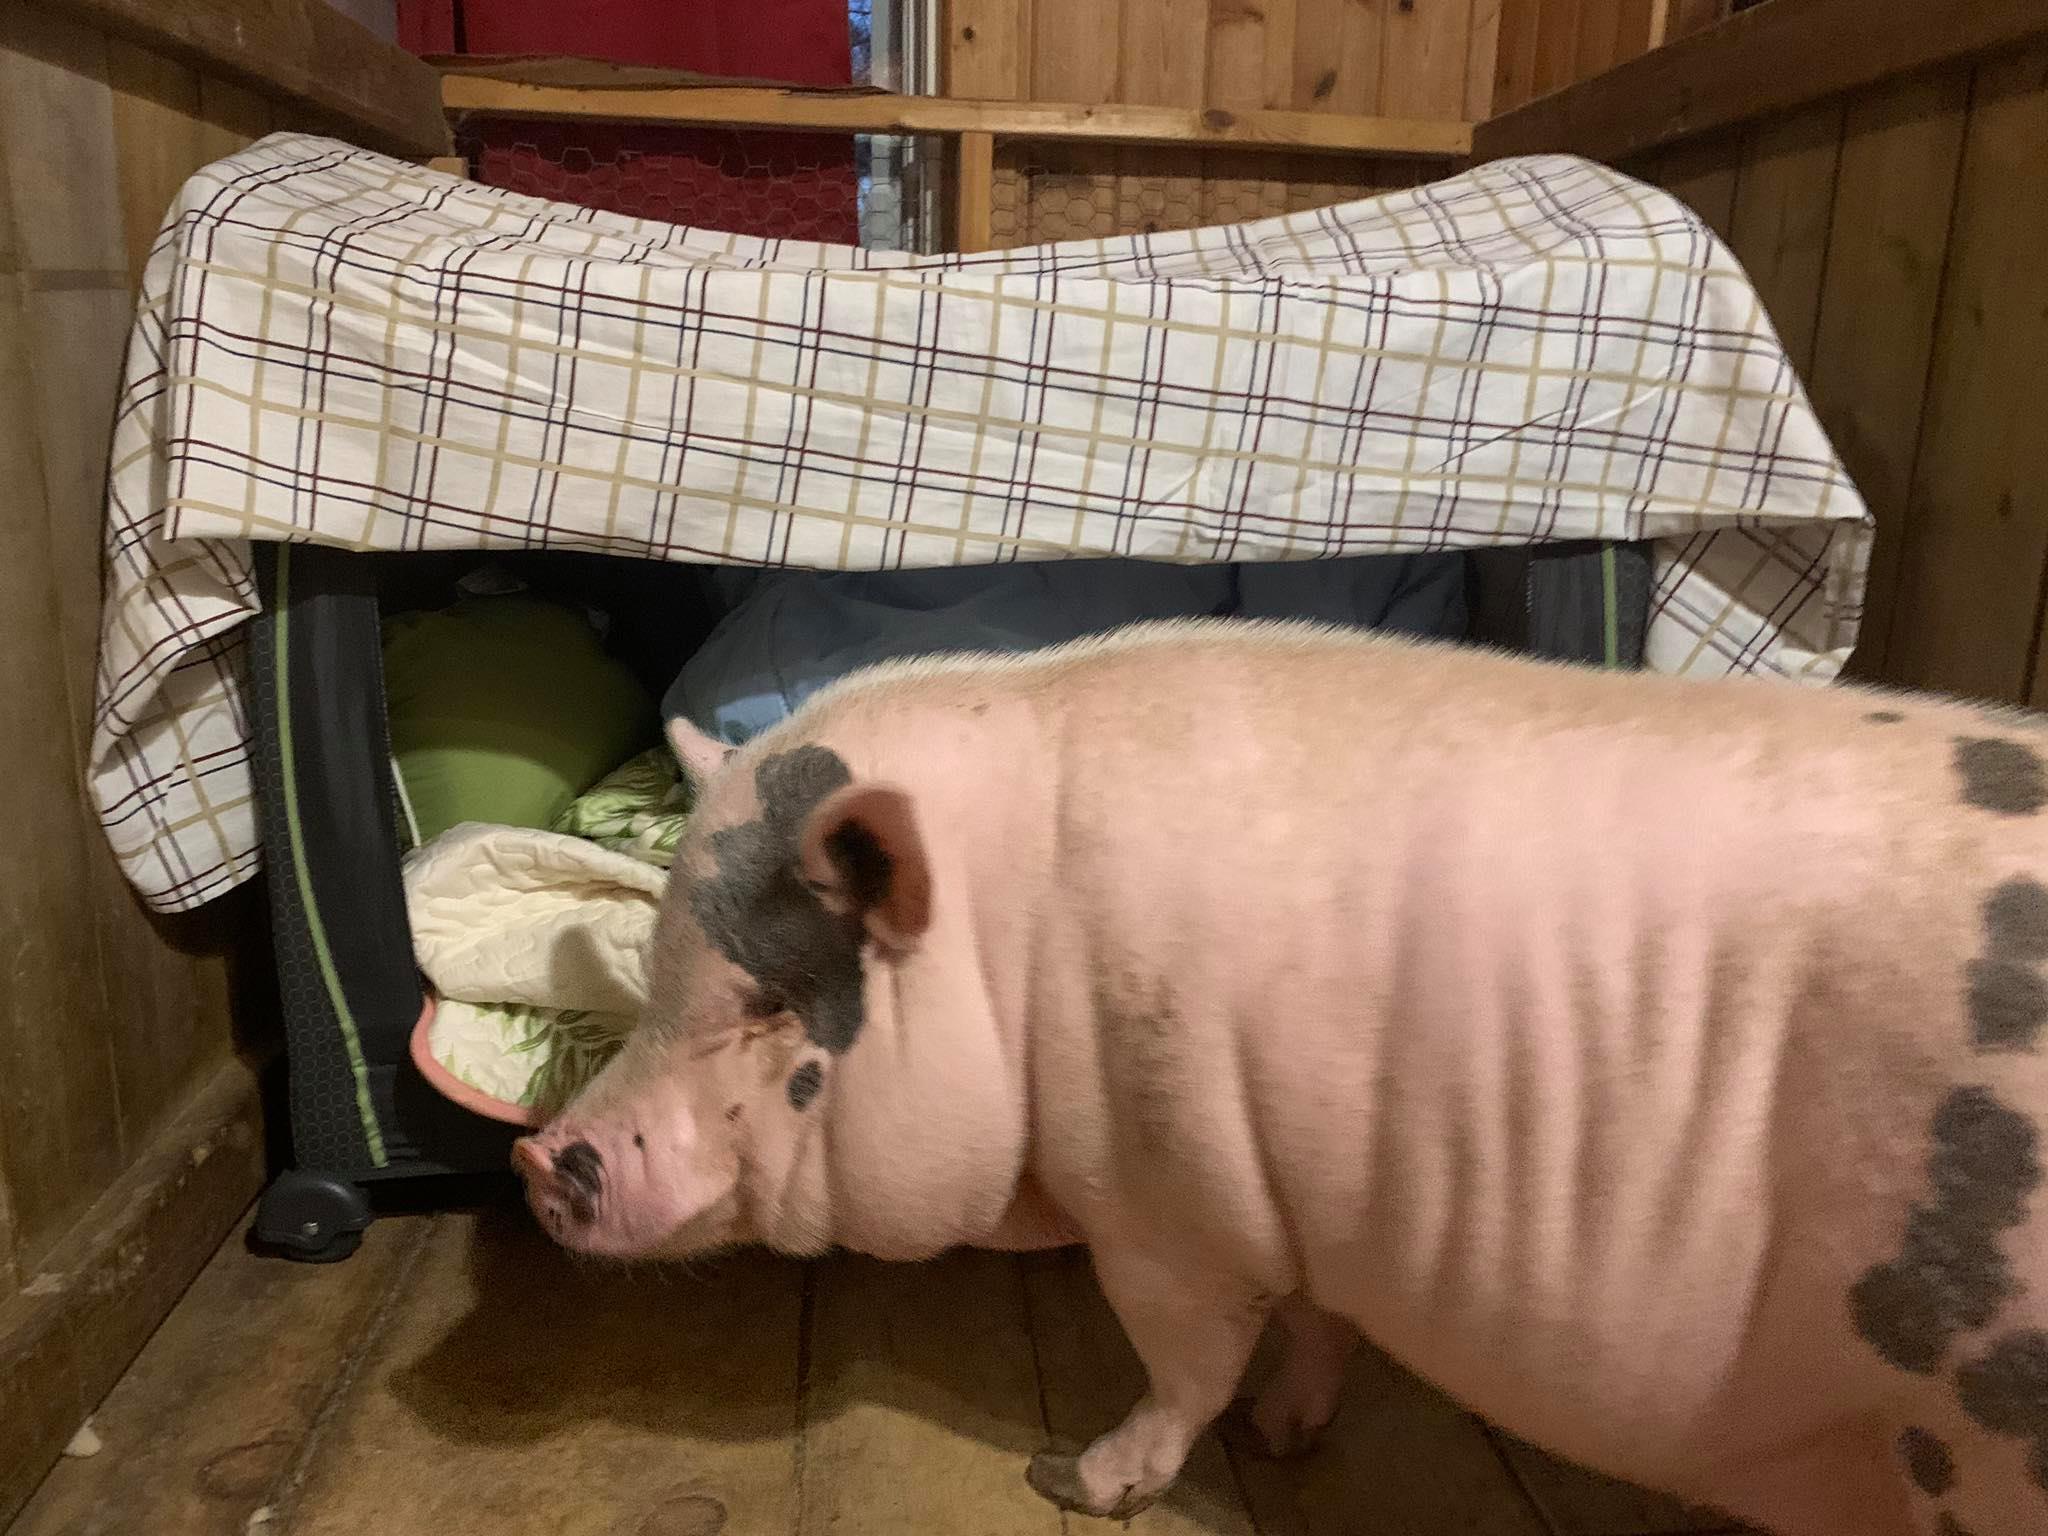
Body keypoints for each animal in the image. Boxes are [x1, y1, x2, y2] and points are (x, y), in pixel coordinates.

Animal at [512, 617, 2048, 1536]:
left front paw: (1075, 1479)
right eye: (657, 970)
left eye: (770, 1006)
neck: (1014, 958)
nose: (538, 1157)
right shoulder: (1295, 1182)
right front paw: (1293, 1438)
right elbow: (1317, 1324)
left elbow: (1187, 1365)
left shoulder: (1164, 1203)